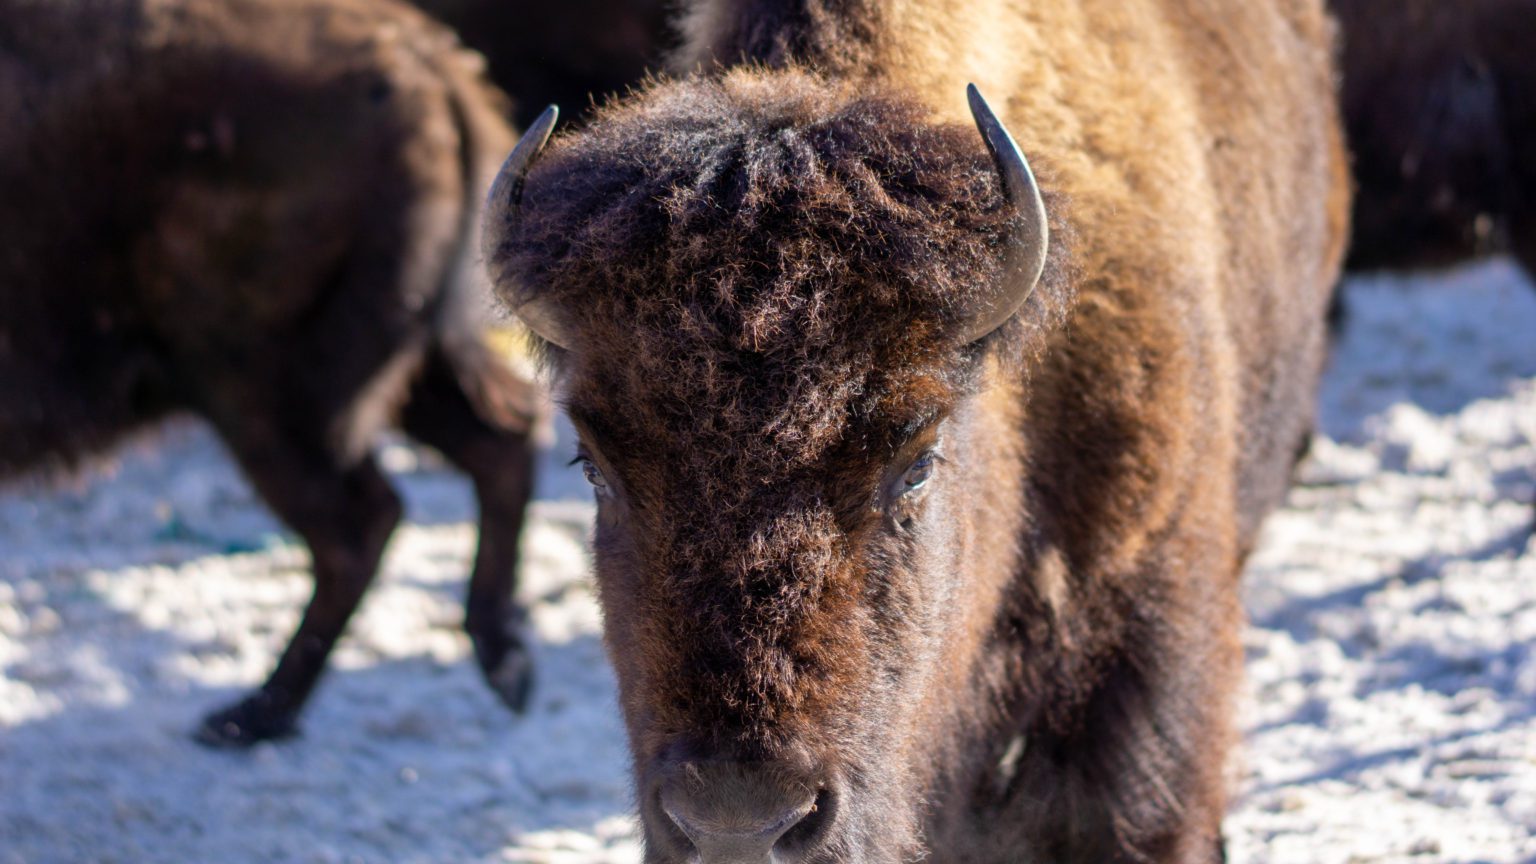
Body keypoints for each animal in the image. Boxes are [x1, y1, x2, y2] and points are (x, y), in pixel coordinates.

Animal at [0, 0, 541, 746]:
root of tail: (421, 54)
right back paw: (504, 661)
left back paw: (250, 714)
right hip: (393, 369)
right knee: (498, 444)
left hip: (263, 397)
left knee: (358, 522)